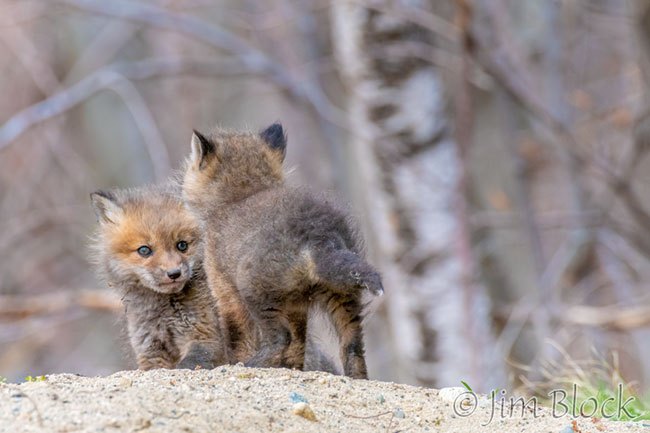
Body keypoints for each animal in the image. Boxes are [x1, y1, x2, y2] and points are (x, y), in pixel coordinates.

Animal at [89, 183, 227, 370]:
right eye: (144, 250)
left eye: (182, 245)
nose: (174, 273)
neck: (164, 312)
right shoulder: (149, 347)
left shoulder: (205, 336)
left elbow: (185, 366)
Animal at [182, 122, 383, 379]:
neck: (241, 196)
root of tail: (318, 233)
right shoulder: (297, 305)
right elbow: (298, 345)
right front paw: (293, 370)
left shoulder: (226, 294)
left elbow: (238, 340)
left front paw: (238, 362)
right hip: (344, 299)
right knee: (353, 350)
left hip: (255, 293)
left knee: (279, 339)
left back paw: (249, 365)